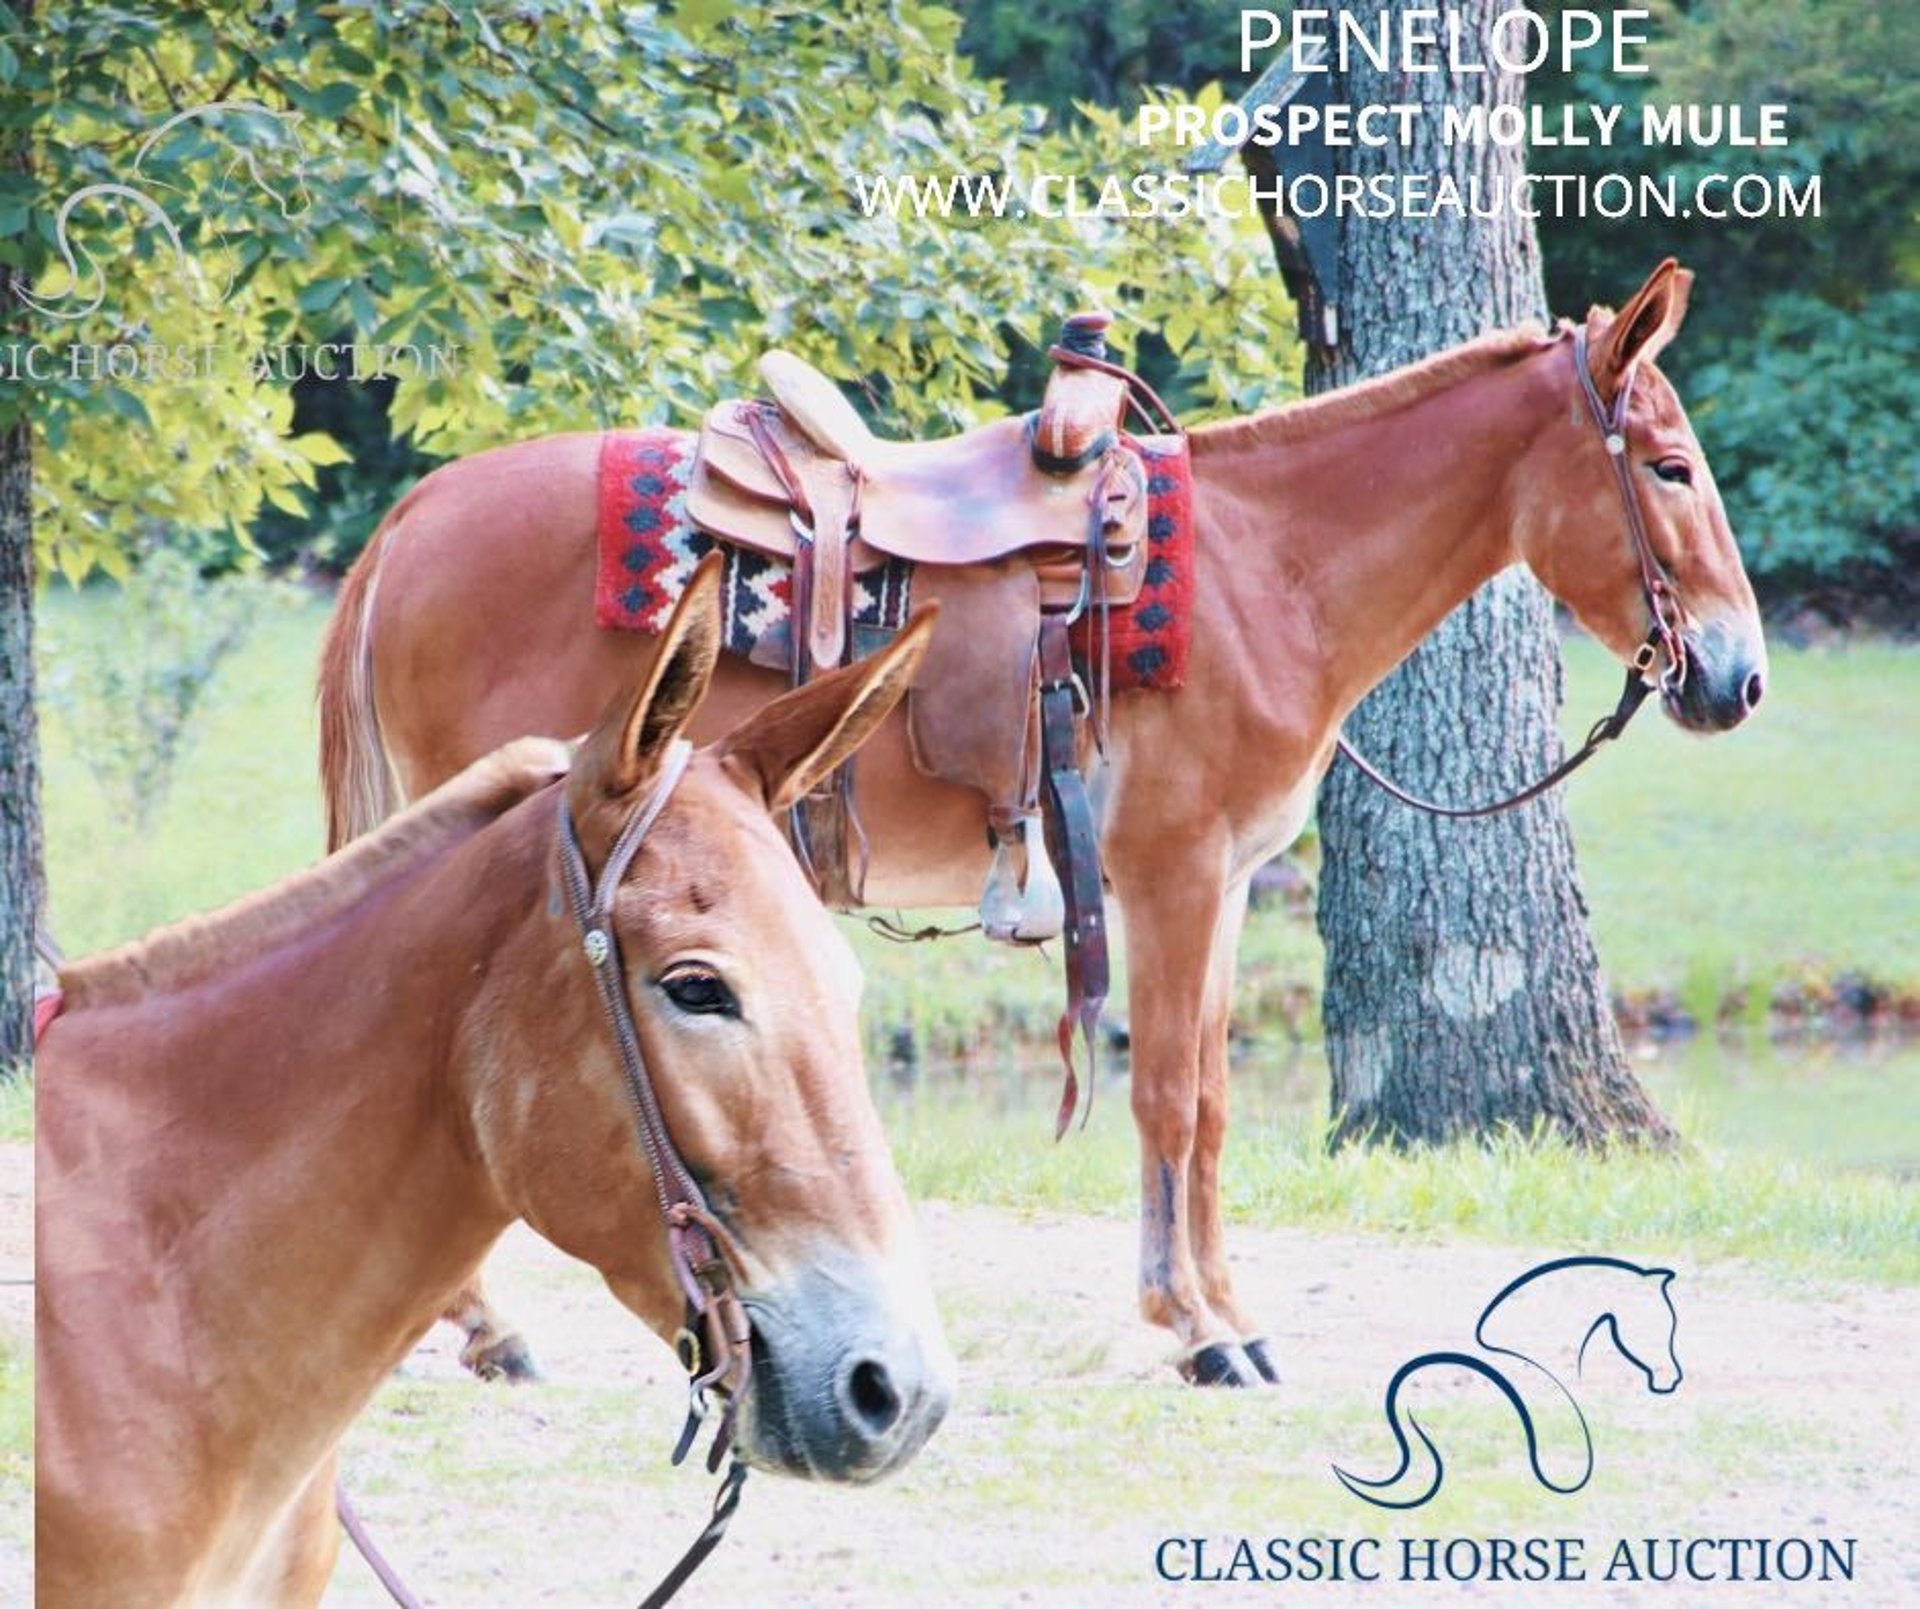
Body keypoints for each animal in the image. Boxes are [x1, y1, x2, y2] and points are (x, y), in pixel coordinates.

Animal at [316, 259, 1766, 1388]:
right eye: (1672, 467)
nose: (1739, 677)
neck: (1261, 572)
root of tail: (415, 517)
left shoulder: (1218, 890)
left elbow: (1214, 1102)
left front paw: (1223, 1310)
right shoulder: (1172, 880)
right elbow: (1168, 1093)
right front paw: (1196, 1331)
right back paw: (482, 1326)